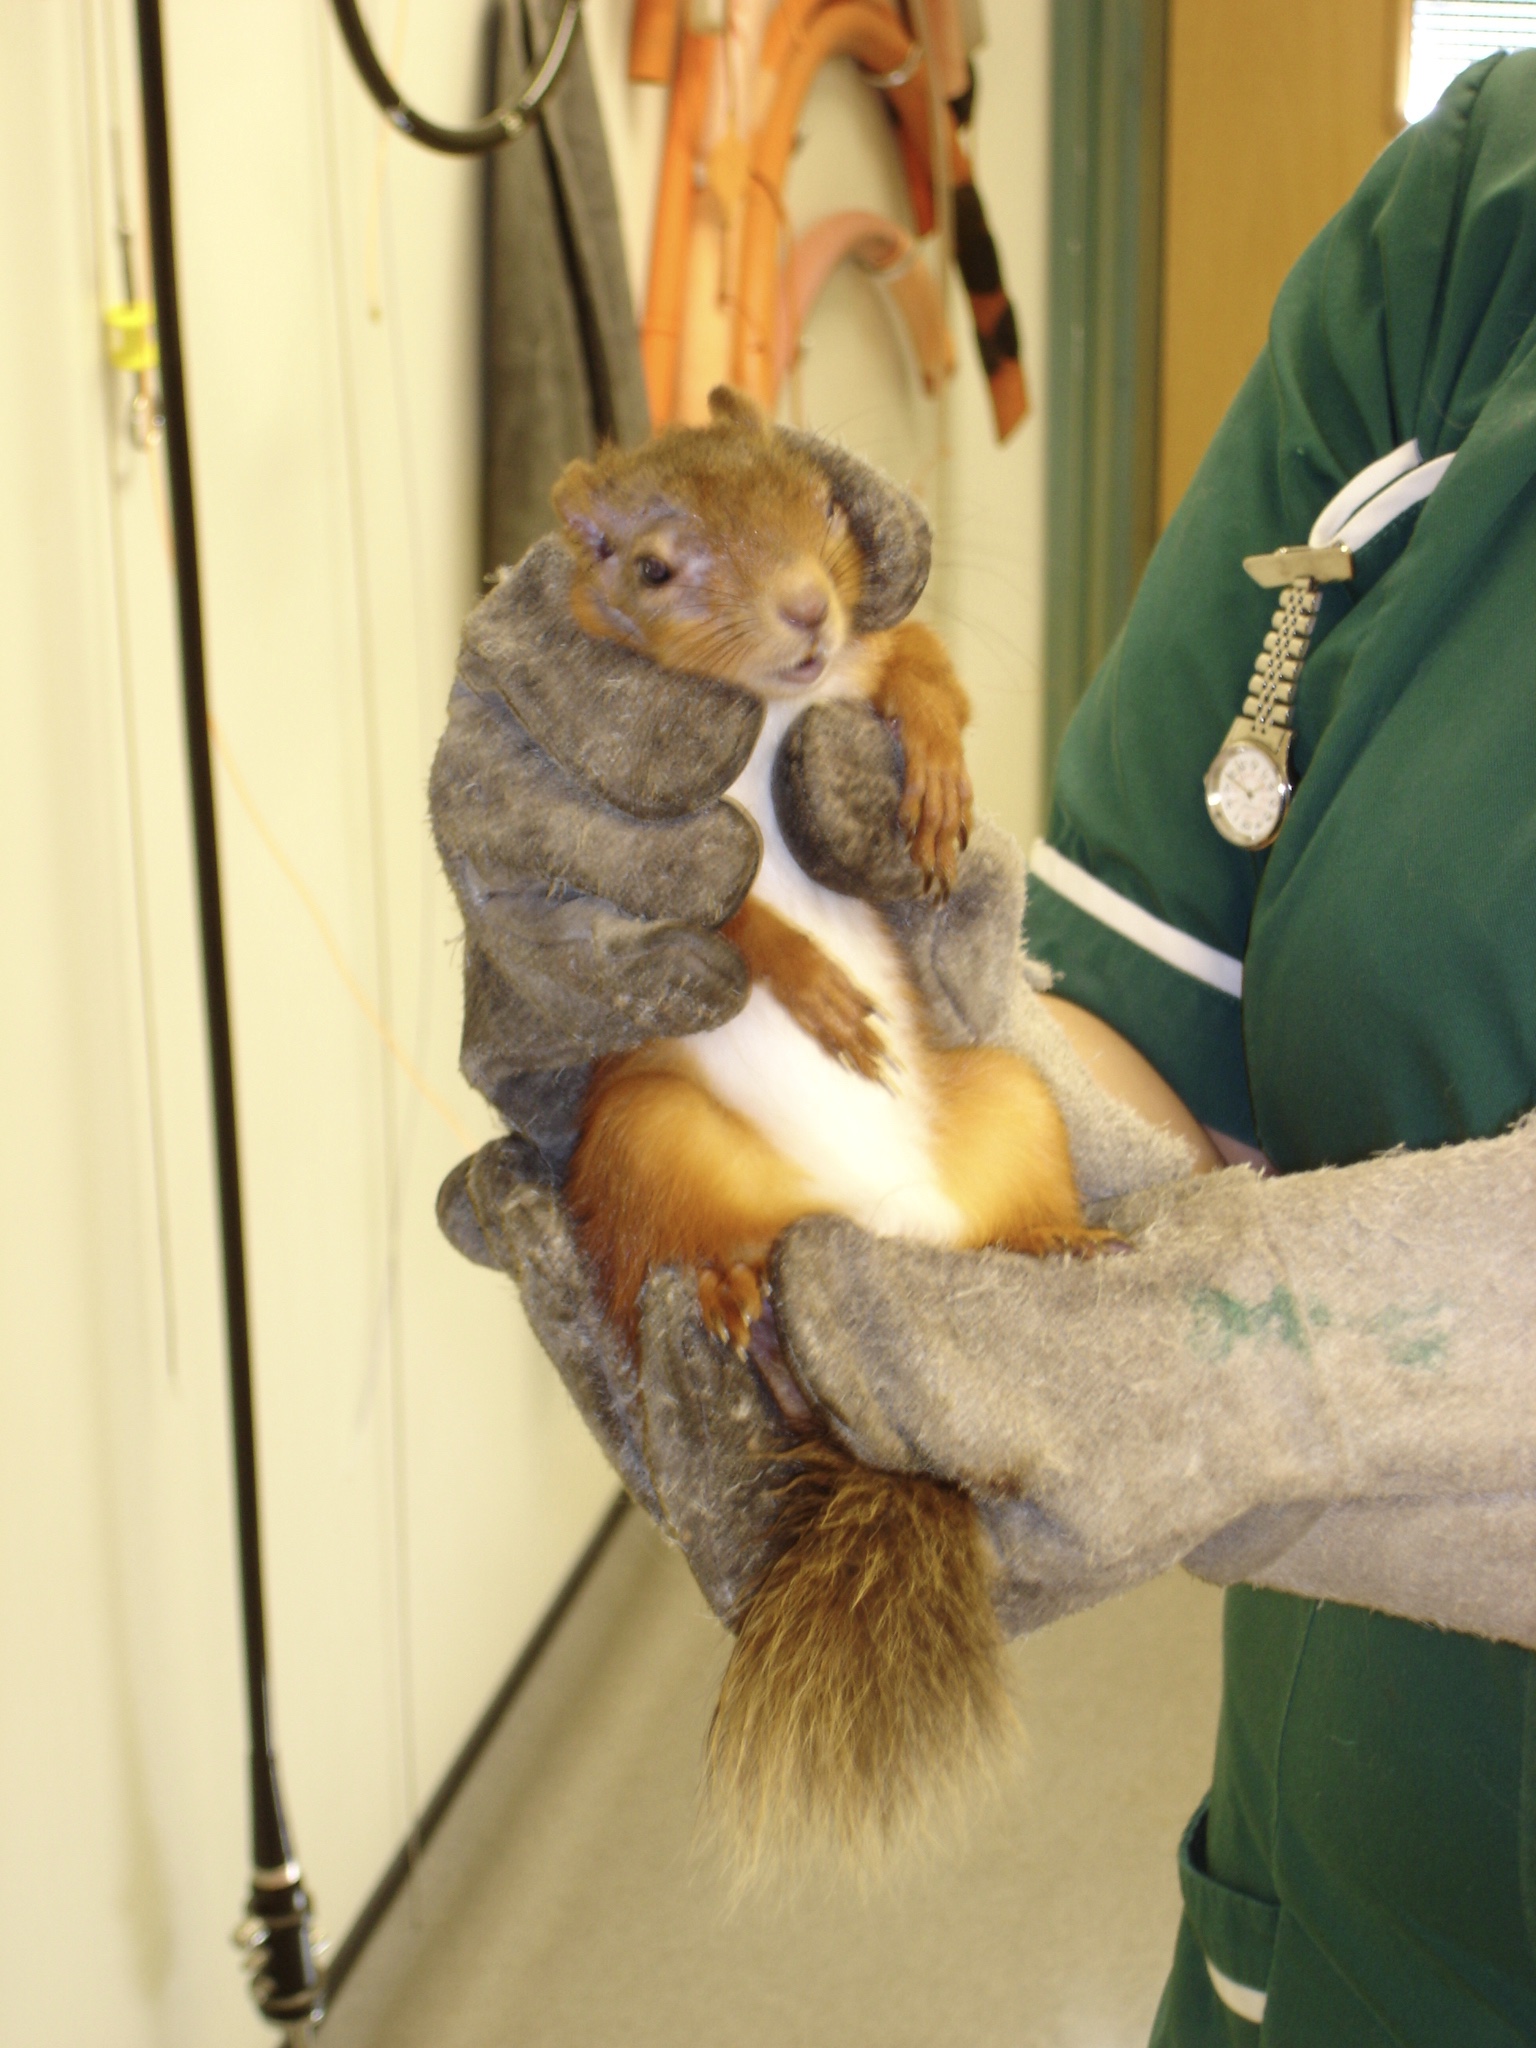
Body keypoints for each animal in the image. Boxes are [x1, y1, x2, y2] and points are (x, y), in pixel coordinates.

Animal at [552, 388, 1115, 1873]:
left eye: (815, 495)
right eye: (650, 565)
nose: (808, 607)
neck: (768, 719)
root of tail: (877, 1222)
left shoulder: (863, 663)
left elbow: (923, 667)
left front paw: (939, 775)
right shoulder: (637, 865)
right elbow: (722, 920)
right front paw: (807, 980)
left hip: (1010, 1100)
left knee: (1015, 1202)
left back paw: (1065, 1246)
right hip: (647, 1138)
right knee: (677, 1244)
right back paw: (735, 1289)